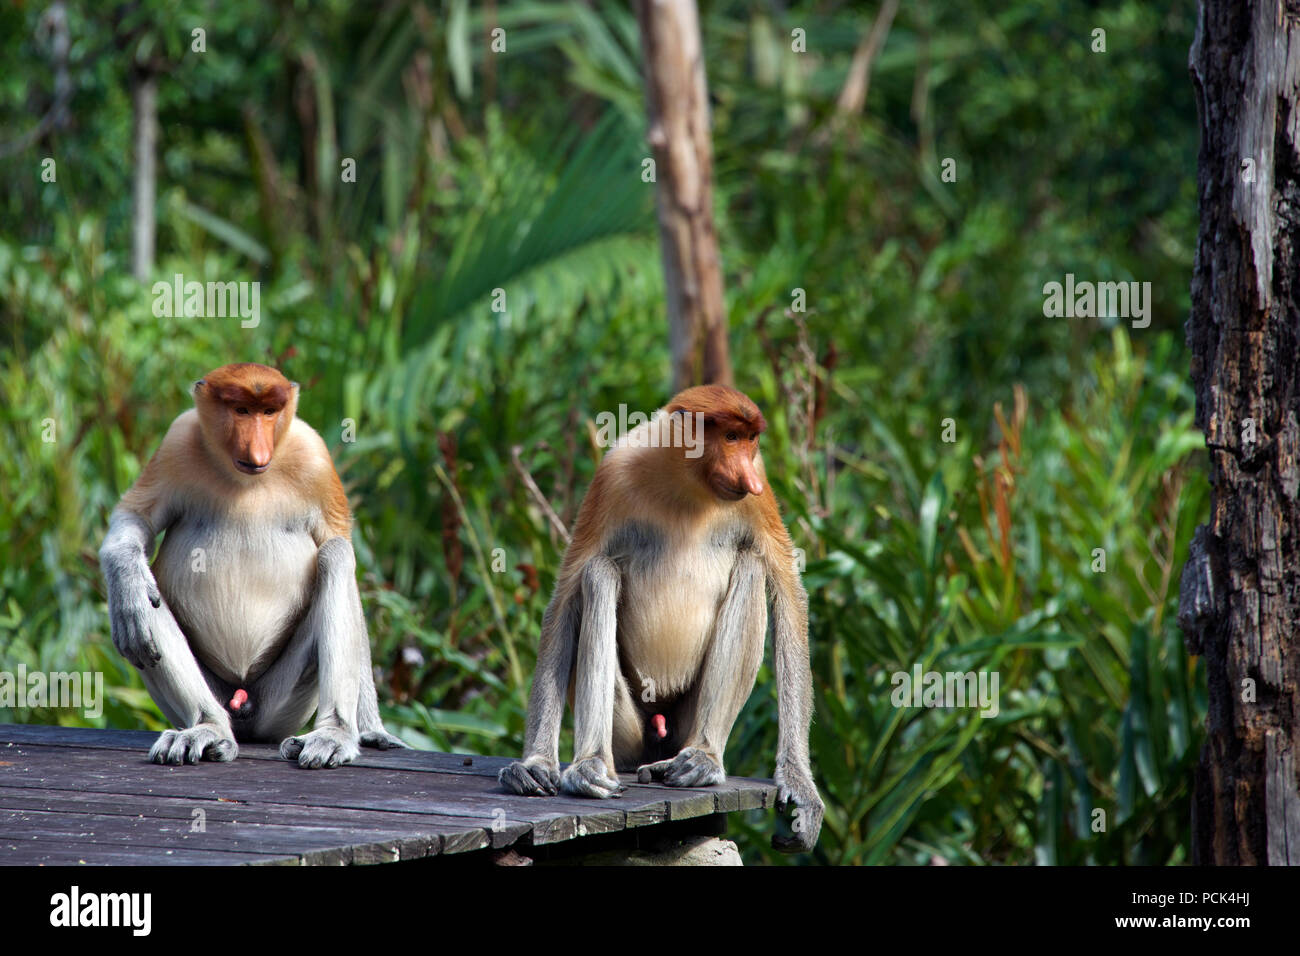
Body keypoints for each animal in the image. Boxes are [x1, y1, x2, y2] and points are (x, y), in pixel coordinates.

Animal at [98, 363, 406, 769]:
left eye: (269, 412)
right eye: (241, 410)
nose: (258, 451)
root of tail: (243, 706)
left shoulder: (316, 457)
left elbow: (339, 542)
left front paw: (373, 731)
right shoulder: (176, 443)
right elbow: (136, 519)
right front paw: (129, 590)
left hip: (281, 701)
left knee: (337, 555)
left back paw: (333, 735)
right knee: (153, 605)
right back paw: (208, 728)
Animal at [499, 385, 825, 852]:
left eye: (751, 441)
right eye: (729, 438)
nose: (748, 479)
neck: (685, 482)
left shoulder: (759, 497)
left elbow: (788, 594)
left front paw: (801, 790)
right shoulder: (611, 476)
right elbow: (565, 598)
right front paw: (535, 764)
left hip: (682, 725)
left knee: (751, 566)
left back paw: (701, 759)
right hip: (631, 734)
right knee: (598, 573)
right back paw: (591, 767)